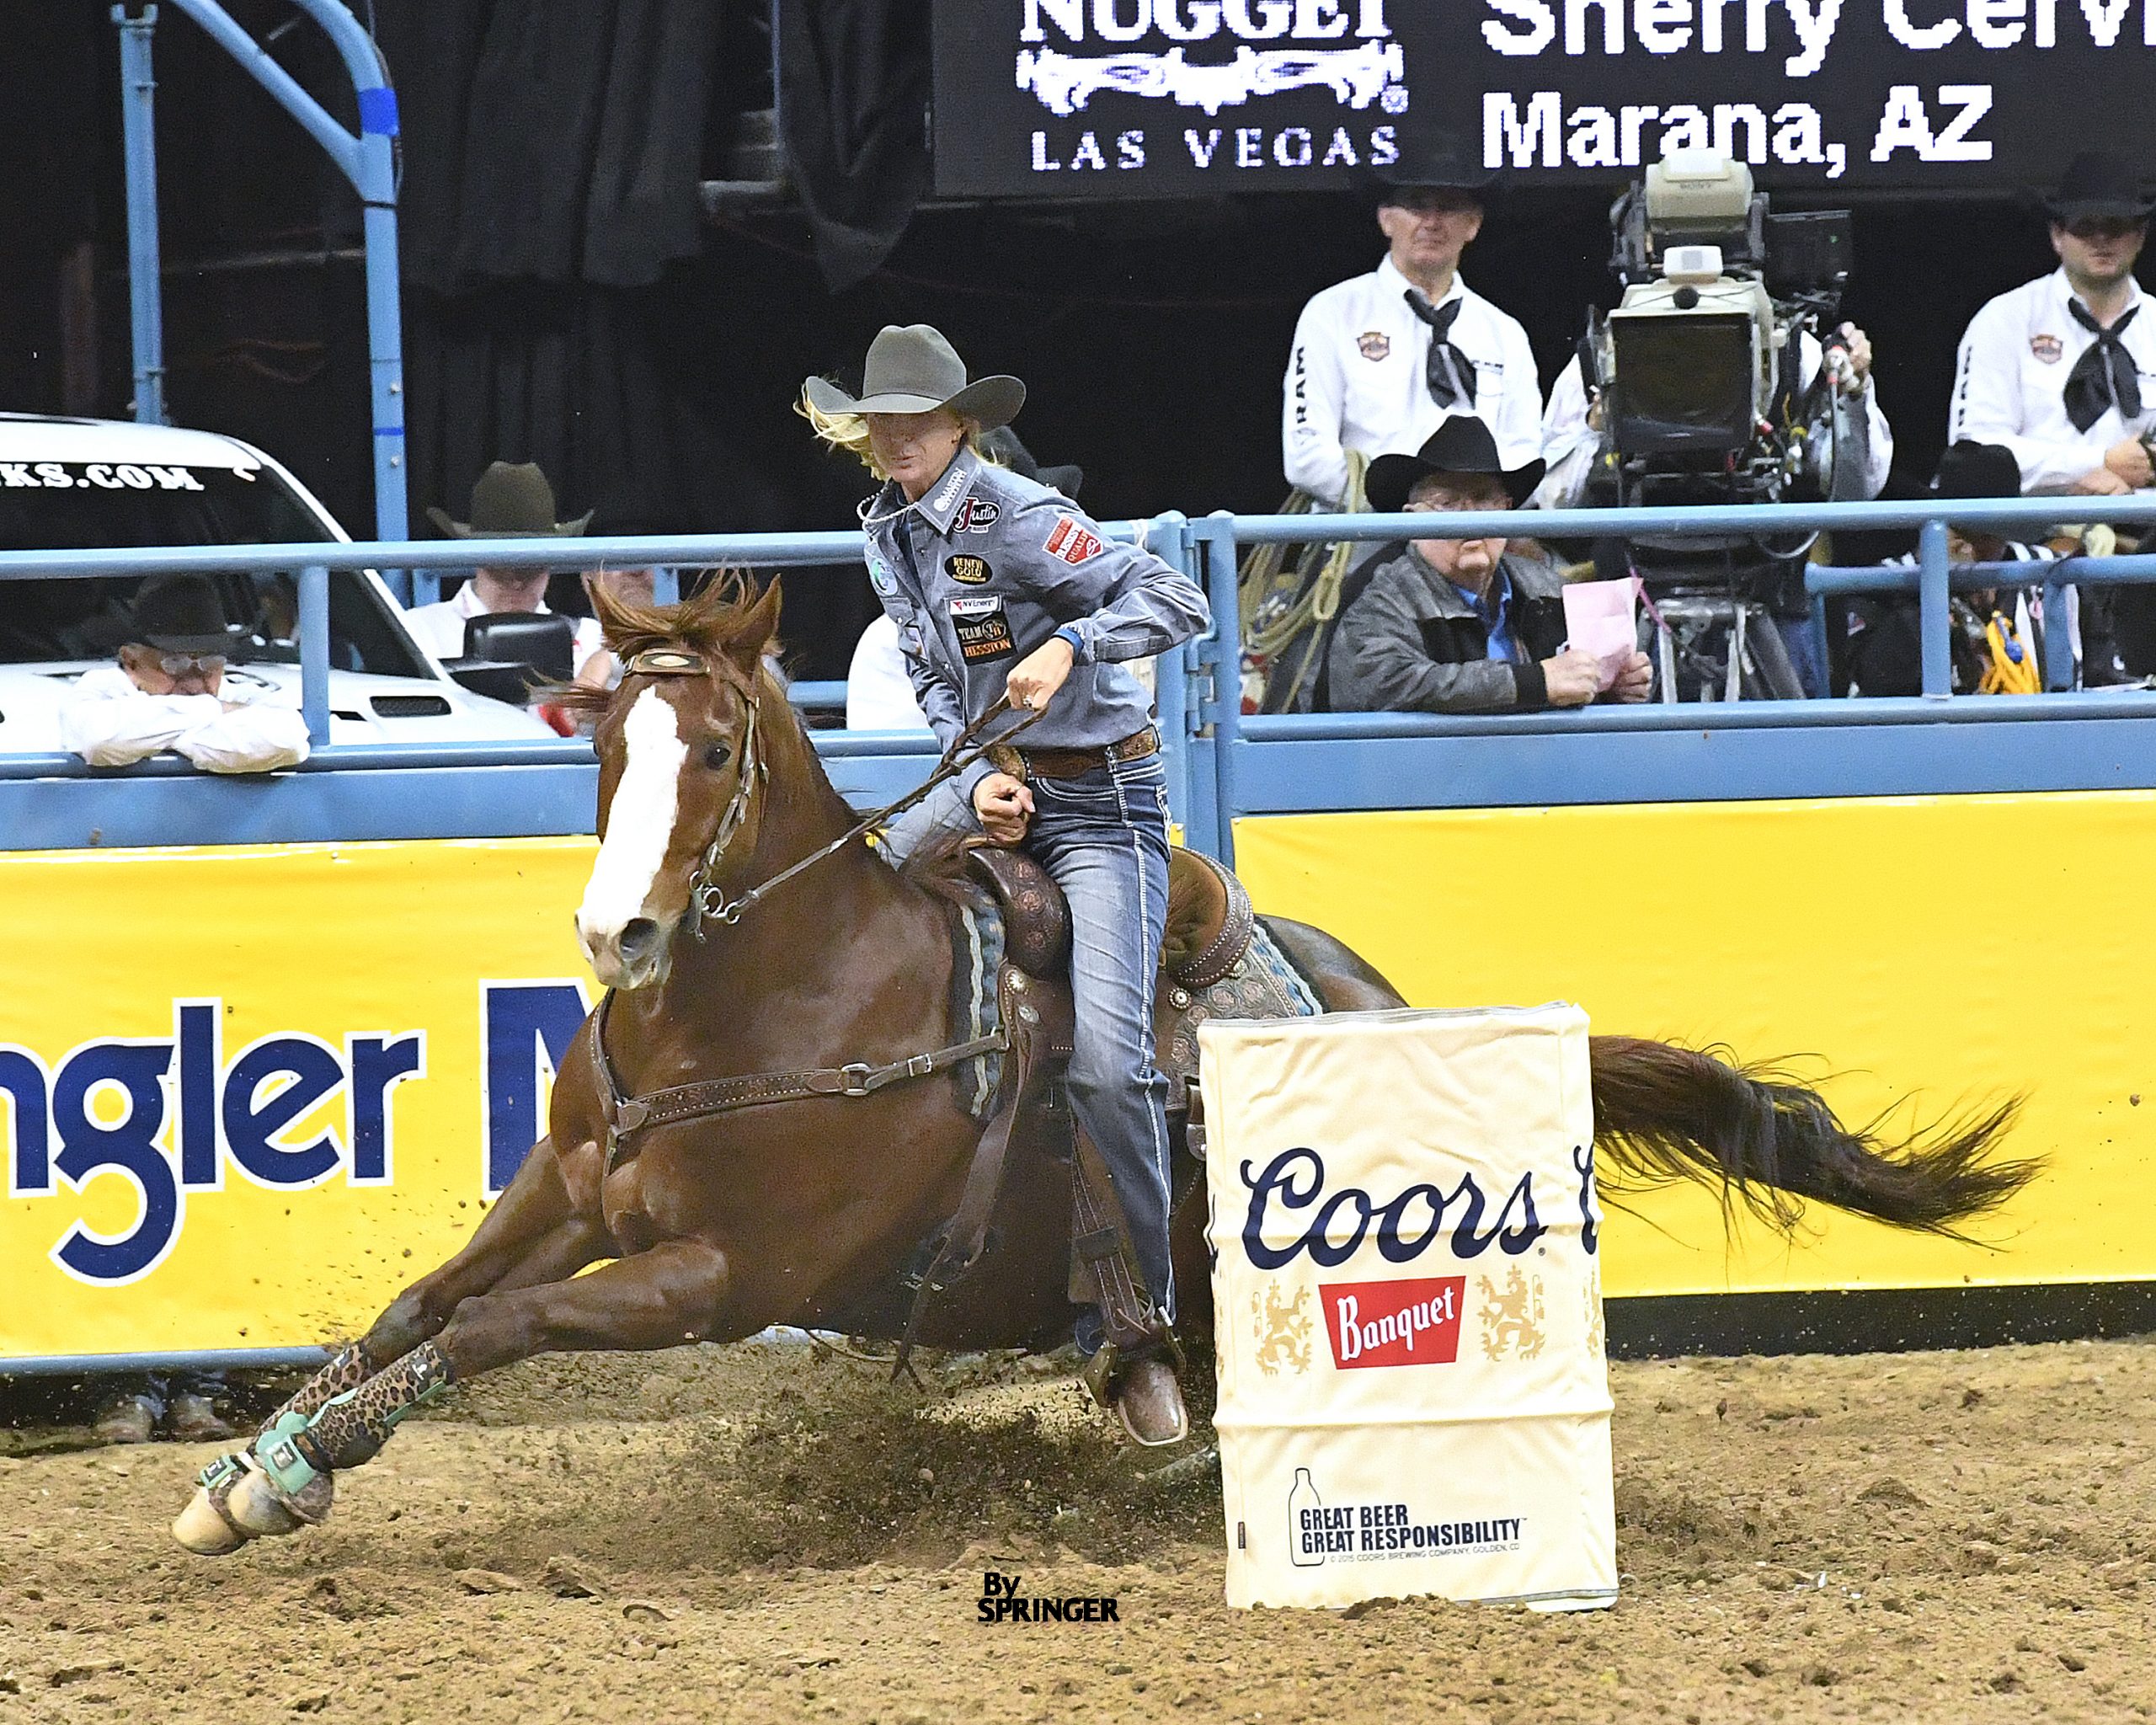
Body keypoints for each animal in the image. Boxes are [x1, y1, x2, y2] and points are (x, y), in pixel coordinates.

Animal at [172, 579, 2035, 1554]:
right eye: (598, 739)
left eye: (708, 747)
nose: (616, 936)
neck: (765, 1005)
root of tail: (1385, 1009)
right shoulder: (568, 1190)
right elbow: (418, 1307)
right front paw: (256, 1467)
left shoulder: (721, 1273)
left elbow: (495, 1330)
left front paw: (291, 1472)